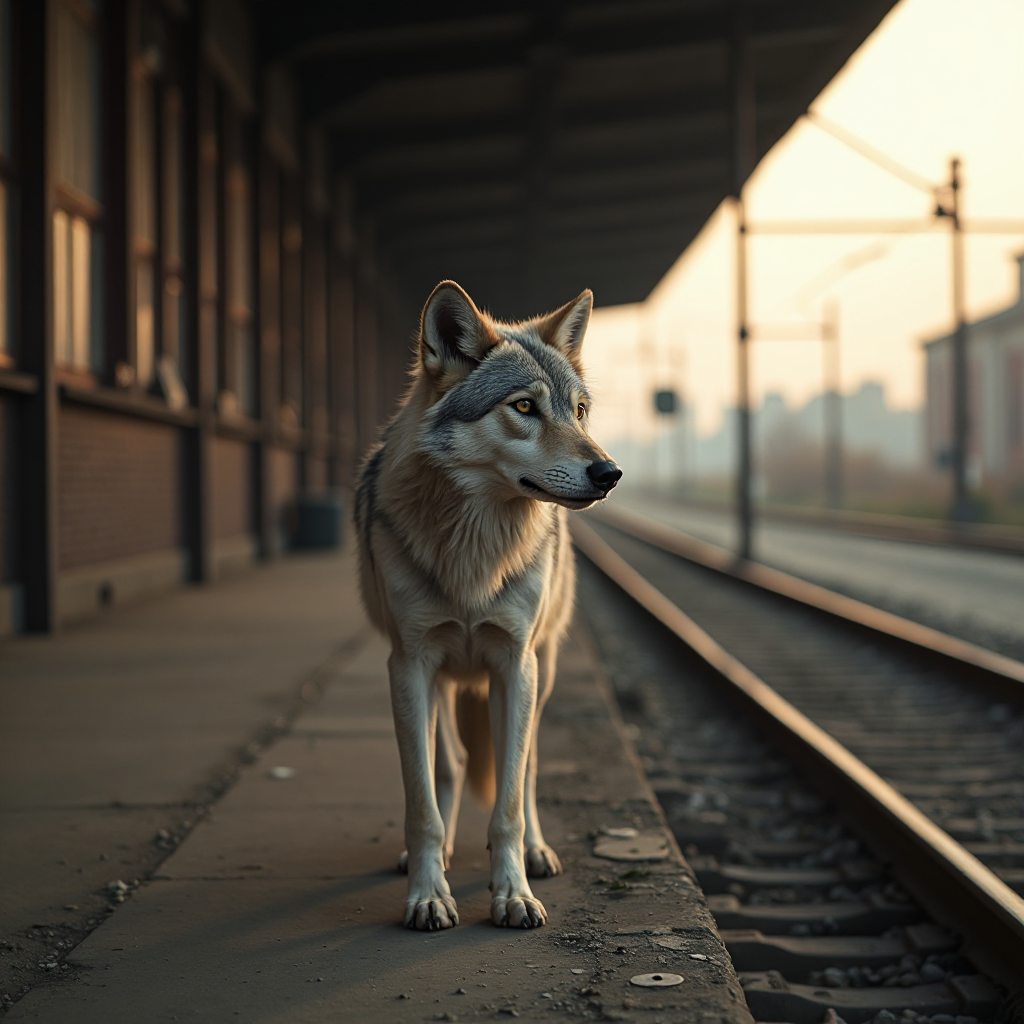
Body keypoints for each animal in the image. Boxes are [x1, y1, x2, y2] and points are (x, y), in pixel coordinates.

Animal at [354, 281, 621, 931]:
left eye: (579, 411)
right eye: (524, 407)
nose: (610, 472)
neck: (476, 549)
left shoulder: (513, 663)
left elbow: (508, 801)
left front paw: (514, 894)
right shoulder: (410, 664)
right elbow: (421, 801)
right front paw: (428, 895)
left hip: (541, 672)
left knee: (525, 770)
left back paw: (537, 853)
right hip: (441, 680)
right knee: (448, 764)